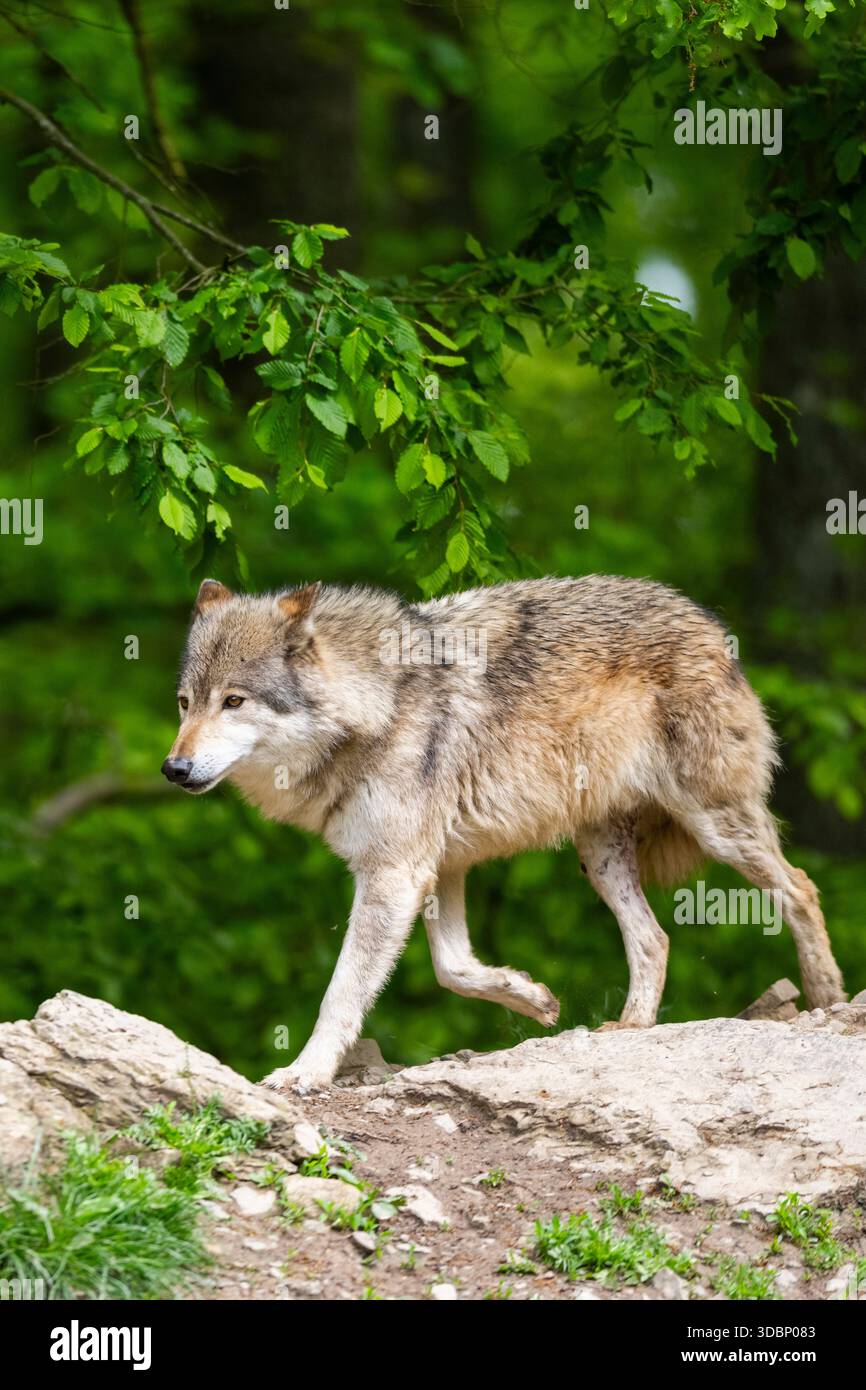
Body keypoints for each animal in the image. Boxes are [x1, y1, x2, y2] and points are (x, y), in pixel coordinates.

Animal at [163, 575, 846, 1092]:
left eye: (234, 701)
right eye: (185, 703)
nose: (173, 769)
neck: (377, 705)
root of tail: (708, 624)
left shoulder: (395, 873)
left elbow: (344, 992)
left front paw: (304, 1073)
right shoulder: (439, 868)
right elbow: (454, 969)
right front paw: (534, 998)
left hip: (715, 824)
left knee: (800, 887)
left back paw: (827, 999)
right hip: (599, 856)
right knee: (655, 938)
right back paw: (632, 1027)